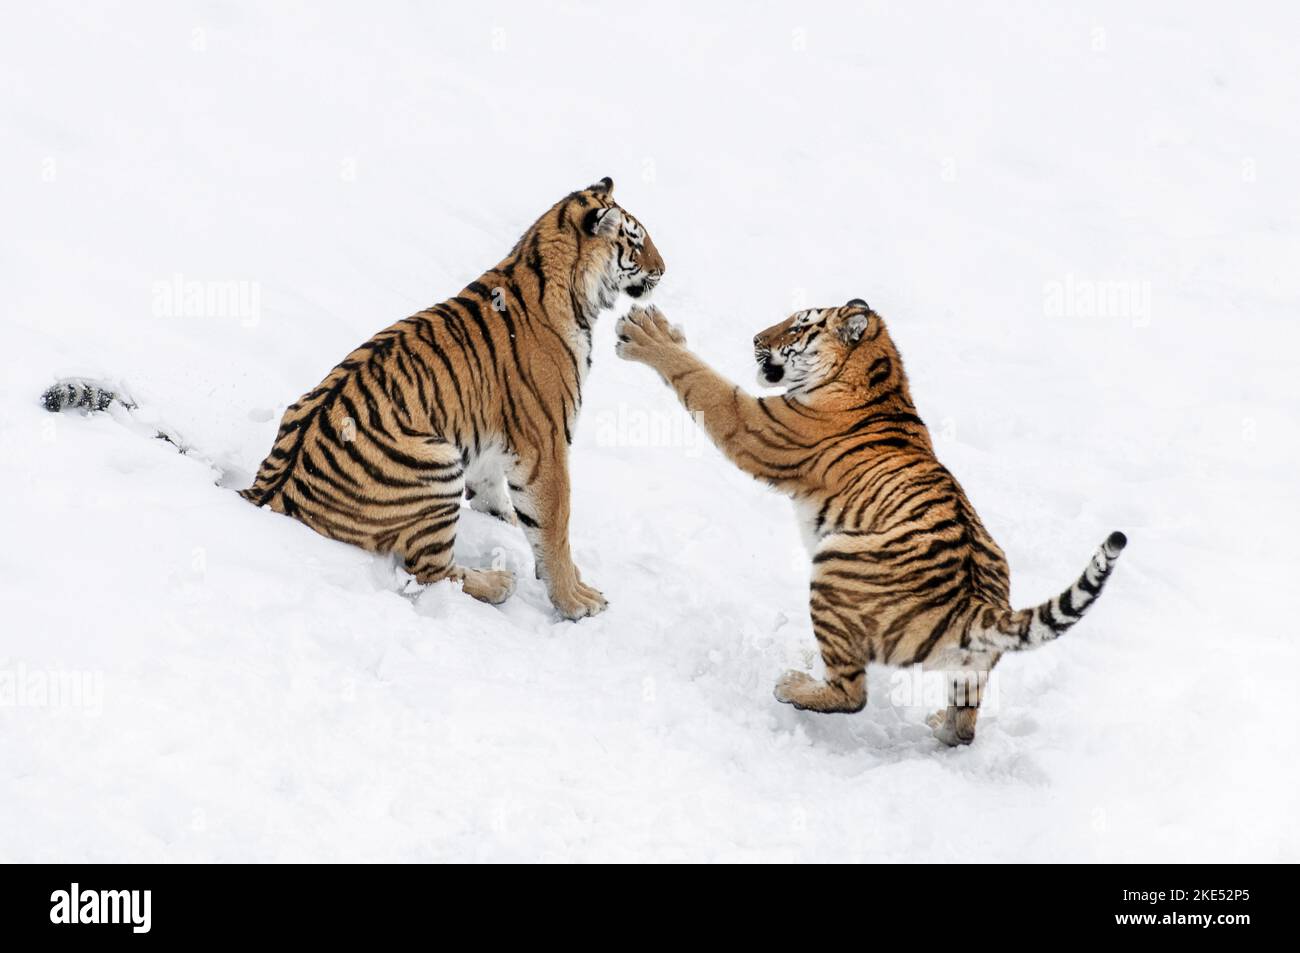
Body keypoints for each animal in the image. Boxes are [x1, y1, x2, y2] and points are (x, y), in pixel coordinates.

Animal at [614, 301, 1125, 745]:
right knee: (963, 727)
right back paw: (940, 725)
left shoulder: (755, 426)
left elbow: (702, 380)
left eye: (798, 327)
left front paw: (646, 334)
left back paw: (793, 686)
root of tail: (975, 604)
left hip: (832, 568)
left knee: (852, 693)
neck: (882, 377)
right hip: (971, 666)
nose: (756, 338)